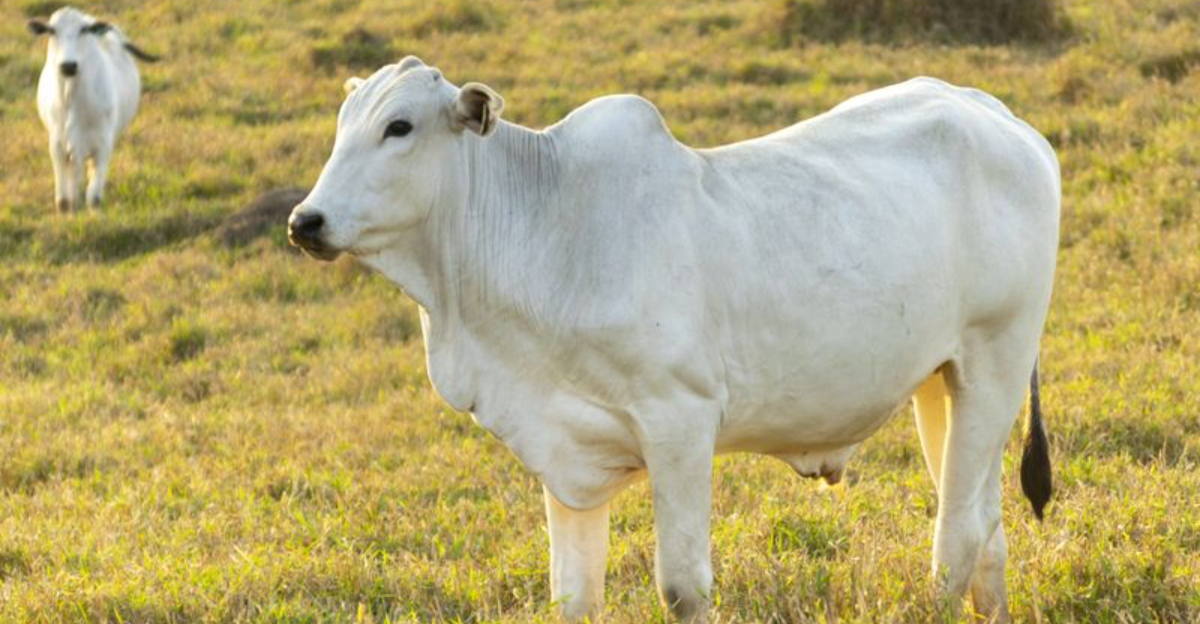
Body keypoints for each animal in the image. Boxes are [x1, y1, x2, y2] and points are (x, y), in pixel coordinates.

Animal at [28, 7, 158, 212]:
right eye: (51, 31)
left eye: (84, 30)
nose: (68, 65)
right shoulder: (56, 143)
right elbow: (64, 200)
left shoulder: (104, 143)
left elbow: (94, 197)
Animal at [288, 56, 1059, 623]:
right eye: (343, 125)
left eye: (399, 126)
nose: (305, 220)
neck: (547, 228)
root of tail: (993, 112)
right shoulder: (564, 451)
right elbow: (573, 597)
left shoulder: (680, 422)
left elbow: (683, 586)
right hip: (941, 382)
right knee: (987, 532)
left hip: (996, 360)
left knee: (956, 542)